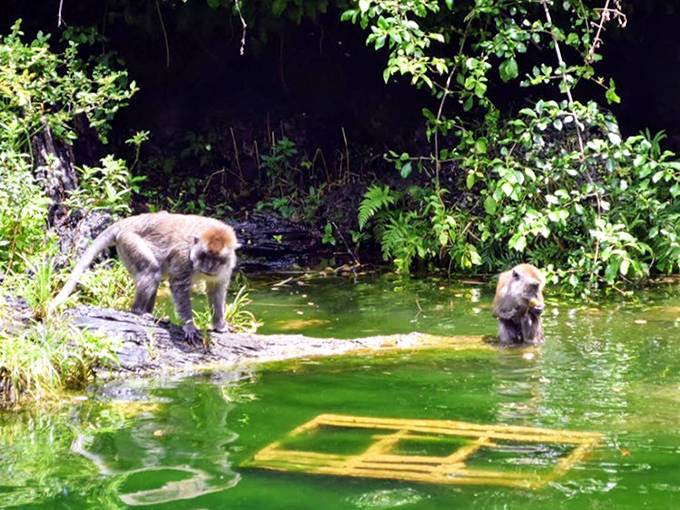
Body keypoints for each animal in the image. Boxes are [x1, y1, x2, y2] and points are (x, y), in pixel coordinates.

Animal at [49, 212, 241, 345]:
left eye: (217, 259)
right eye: (205, 255)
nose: (209, 267)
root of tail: (131, 221)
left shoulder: (225, 269)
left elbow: (216, 291)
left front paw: (220, 325)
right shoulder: (183, 257)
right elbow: (178, 287)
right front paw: (189, 326)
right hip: (129, 242)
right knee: (151, 270)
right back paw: (139, 311)